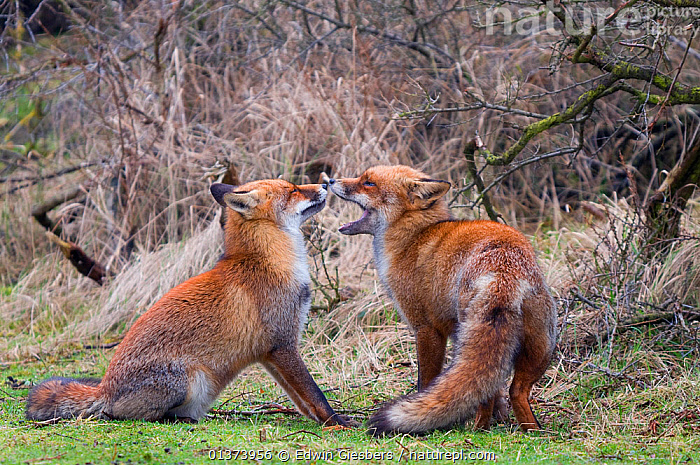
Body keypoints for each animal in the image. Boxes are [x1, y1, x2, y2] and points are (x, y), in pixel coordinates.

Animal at [26, 179, 350, 427]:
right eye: (293, 190)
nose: (324, 183)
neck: (268, 261)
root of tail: (105, 388)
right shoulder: (282, 344)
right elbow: (315, 393)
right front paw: (337, 423)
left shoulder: (270, 353)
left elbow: (301, 399)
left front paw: (321, 421)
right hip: (190, 380)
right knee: (122, 414)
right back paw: (178, 419)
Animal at [328, 165, 557, 436]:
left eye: (369, 183)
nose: (329, 181)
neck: (412, 236)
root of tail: (504, 267)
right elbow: (495, 388)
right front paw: (500, 418)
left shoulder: (426, 329)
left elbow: (426, 382)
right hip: (540, 347)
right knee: (514, 390)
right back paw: (531, 431)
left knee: (487, 395)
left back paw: (477, 429)